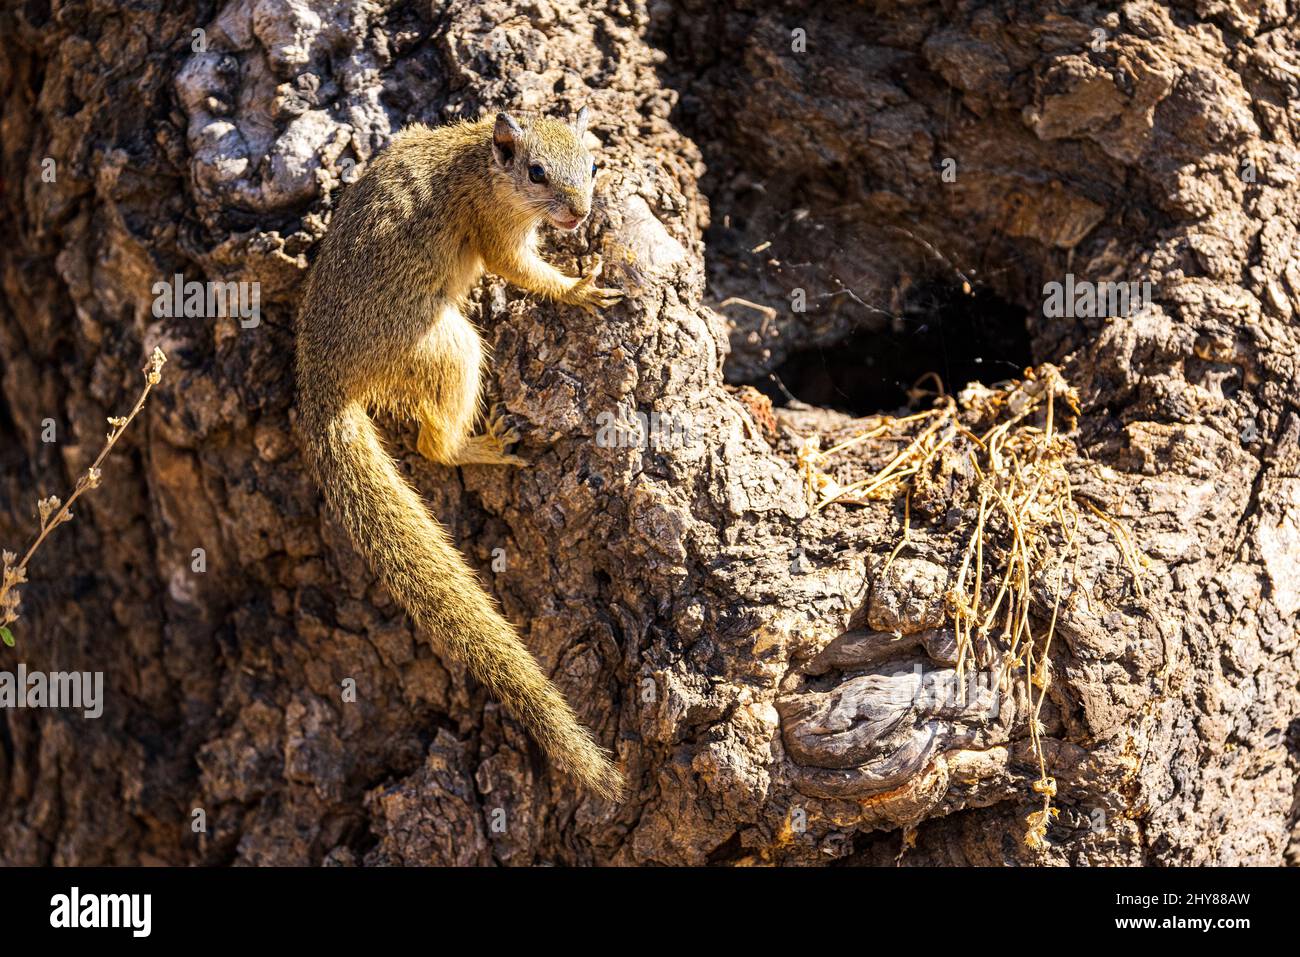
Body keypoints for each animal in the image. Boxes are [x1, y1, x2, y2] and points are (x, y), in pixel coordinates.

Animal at [294, 108, 625, 800]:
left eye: (593, 162)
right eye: (536, 173)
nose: (579, 215)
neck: (479, 163)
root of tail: (326, 381)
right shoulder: (494, 227)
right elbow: (518, 269)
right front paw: (577, 289)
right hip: (446, 347)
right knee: (433, 444)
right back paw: (485, 447)